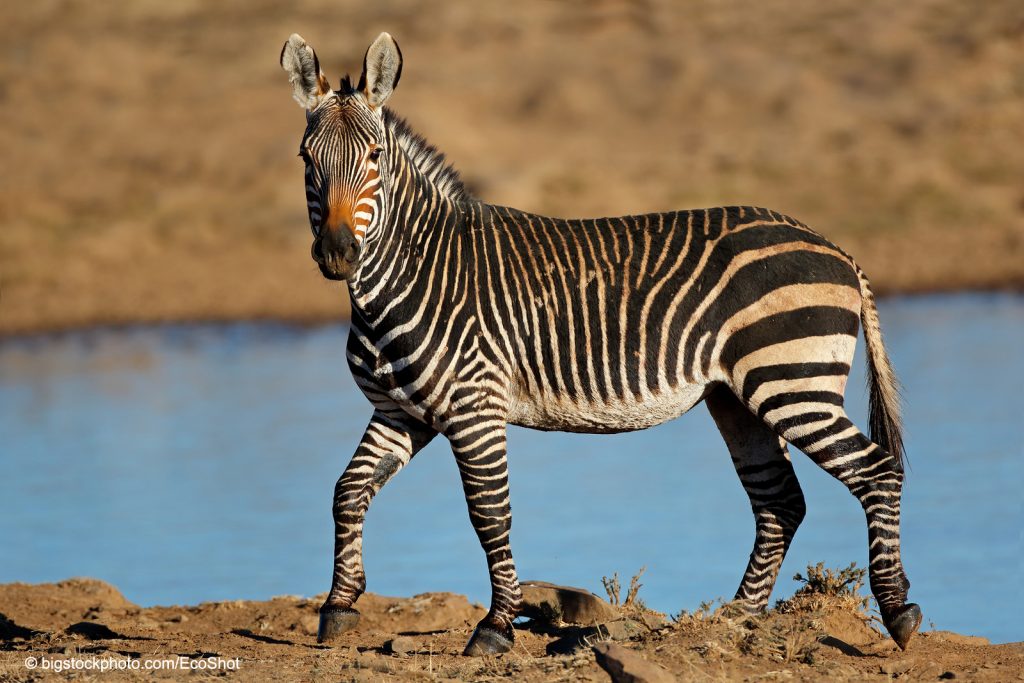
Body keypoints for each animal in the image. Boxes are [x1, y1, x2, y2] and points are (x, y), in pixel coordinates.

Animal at [280, 32, 922, 656]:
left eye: (375, 158)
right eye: (306, 159)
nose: (338, 254)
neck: (417, 272)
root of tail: (837, 249)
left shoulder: (474, 408)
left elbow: (489, 515)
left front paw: (496, 626)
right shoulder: (400, 412)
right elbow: (348, 490)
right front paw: (337, 606)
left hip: (793, 384)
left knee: (876, 472)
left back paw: (897, 611)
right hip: (739, 398)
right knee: (780, 501)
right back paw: (729, 621)